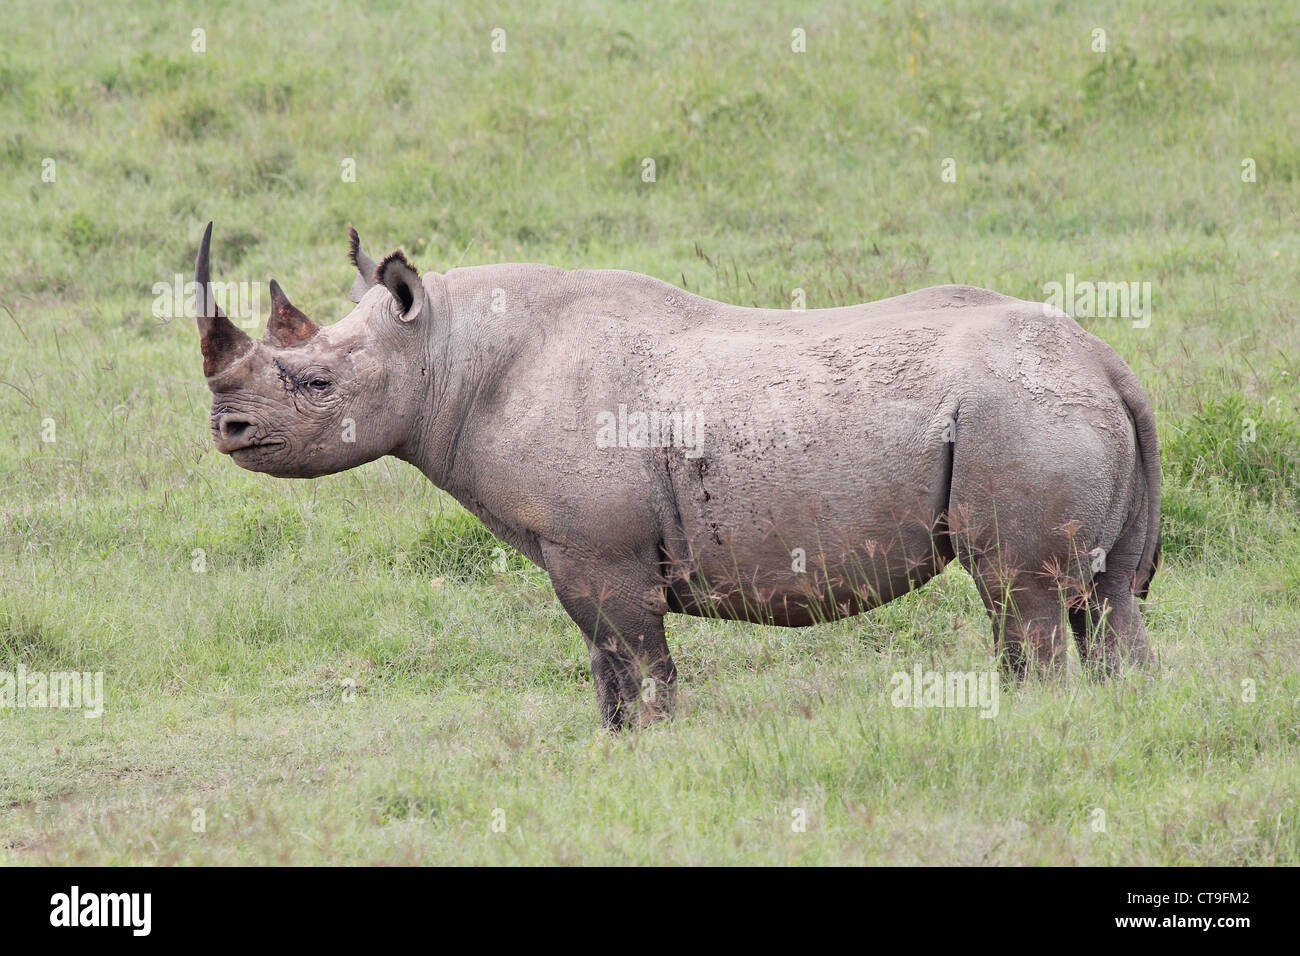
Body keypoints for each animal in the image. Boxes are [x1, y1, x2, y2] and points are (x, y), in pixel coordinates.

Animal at [193, 222, 1160, 729]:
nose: (226, 430)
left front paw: (658, 744)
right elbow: (603, 665)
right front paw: (613, 747)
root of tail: (1110, 364)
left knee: (1021, 596)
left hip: (1020, 415)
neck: (445, 355)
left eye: (317, 384)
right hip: (1054, 410)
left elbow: (638, 655)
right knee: (1107, 597)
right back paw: (1113, 715)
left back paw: (1031, 721)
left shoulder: (602, 551)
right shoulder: (575, 550)